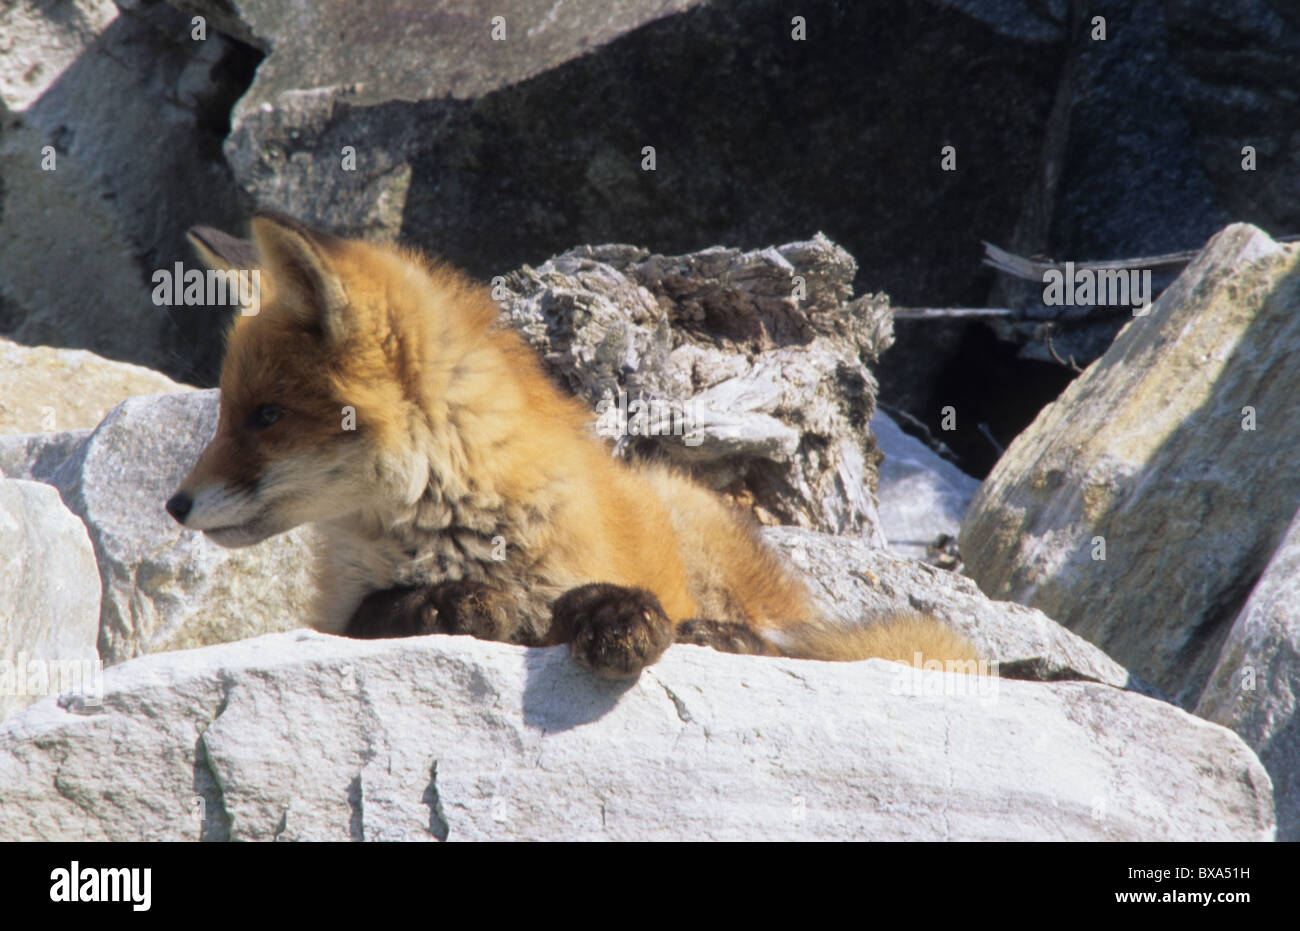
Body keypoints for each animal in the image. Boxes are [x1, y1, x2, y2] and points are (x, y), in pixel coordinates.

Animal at [165, 212, 979, 679]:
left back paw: (720, 633)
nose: (174, 505)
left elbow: (601, 603)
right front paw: (453, 605)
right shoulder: (335, 616)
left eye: (266, 415)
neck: (453, 528)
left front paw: (621, 621)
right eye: (228, 412)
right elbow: (389, 607)